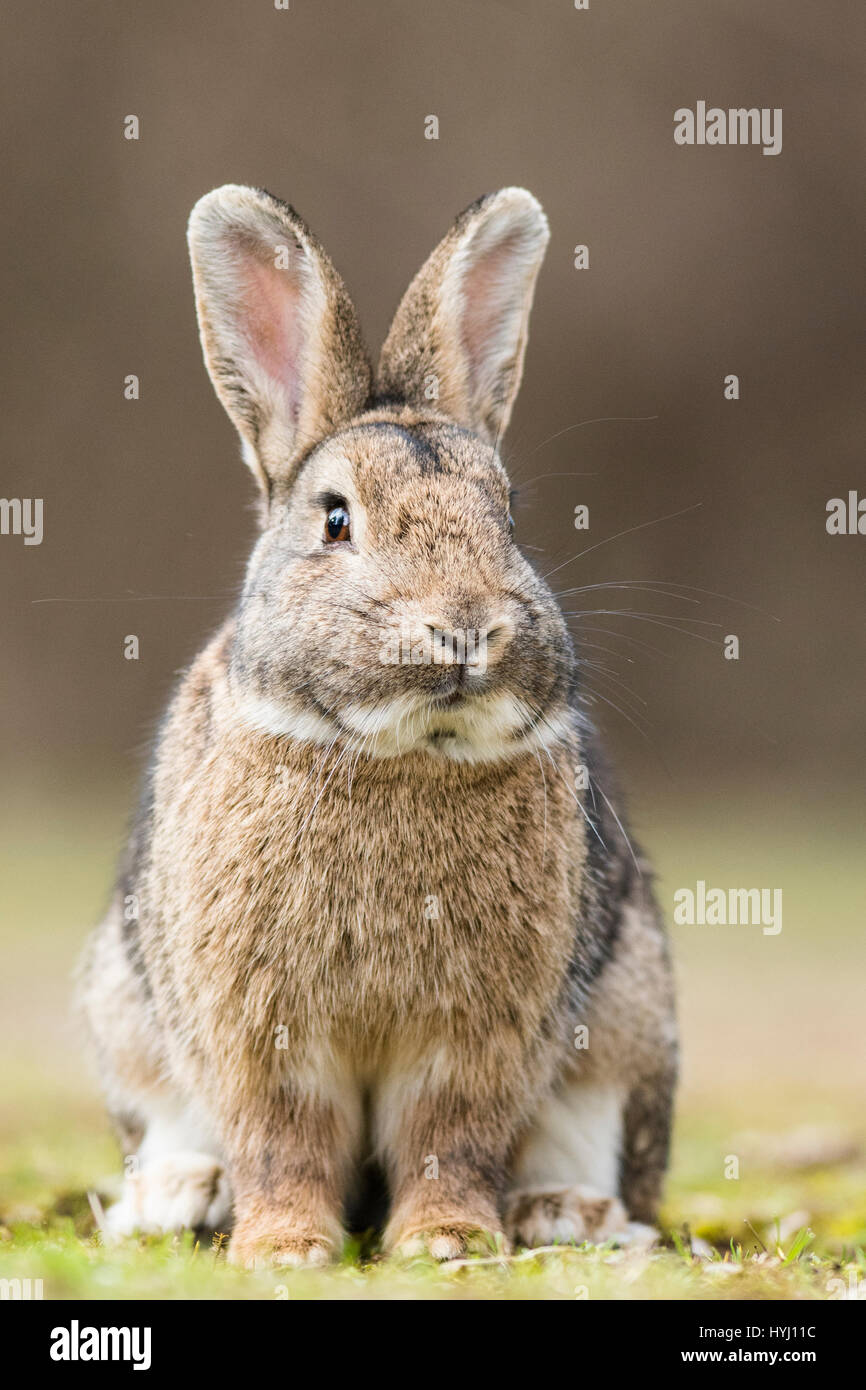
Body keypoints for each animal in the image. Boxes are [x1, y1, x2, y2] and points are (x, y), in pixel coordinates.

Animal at [78, 184, 677, 1267]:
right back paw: (185, 1195)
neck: (395, 750)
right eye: (335, 519)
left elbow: (449, 1134)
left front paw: (448, 1241)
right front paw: (282, 1246)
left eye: (509, 515)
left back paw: (561, 1211)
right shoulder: (259, 1030)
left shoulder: (479, 1034)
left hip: (626, 1034)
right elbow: (284, 1139)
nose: (465, 629)